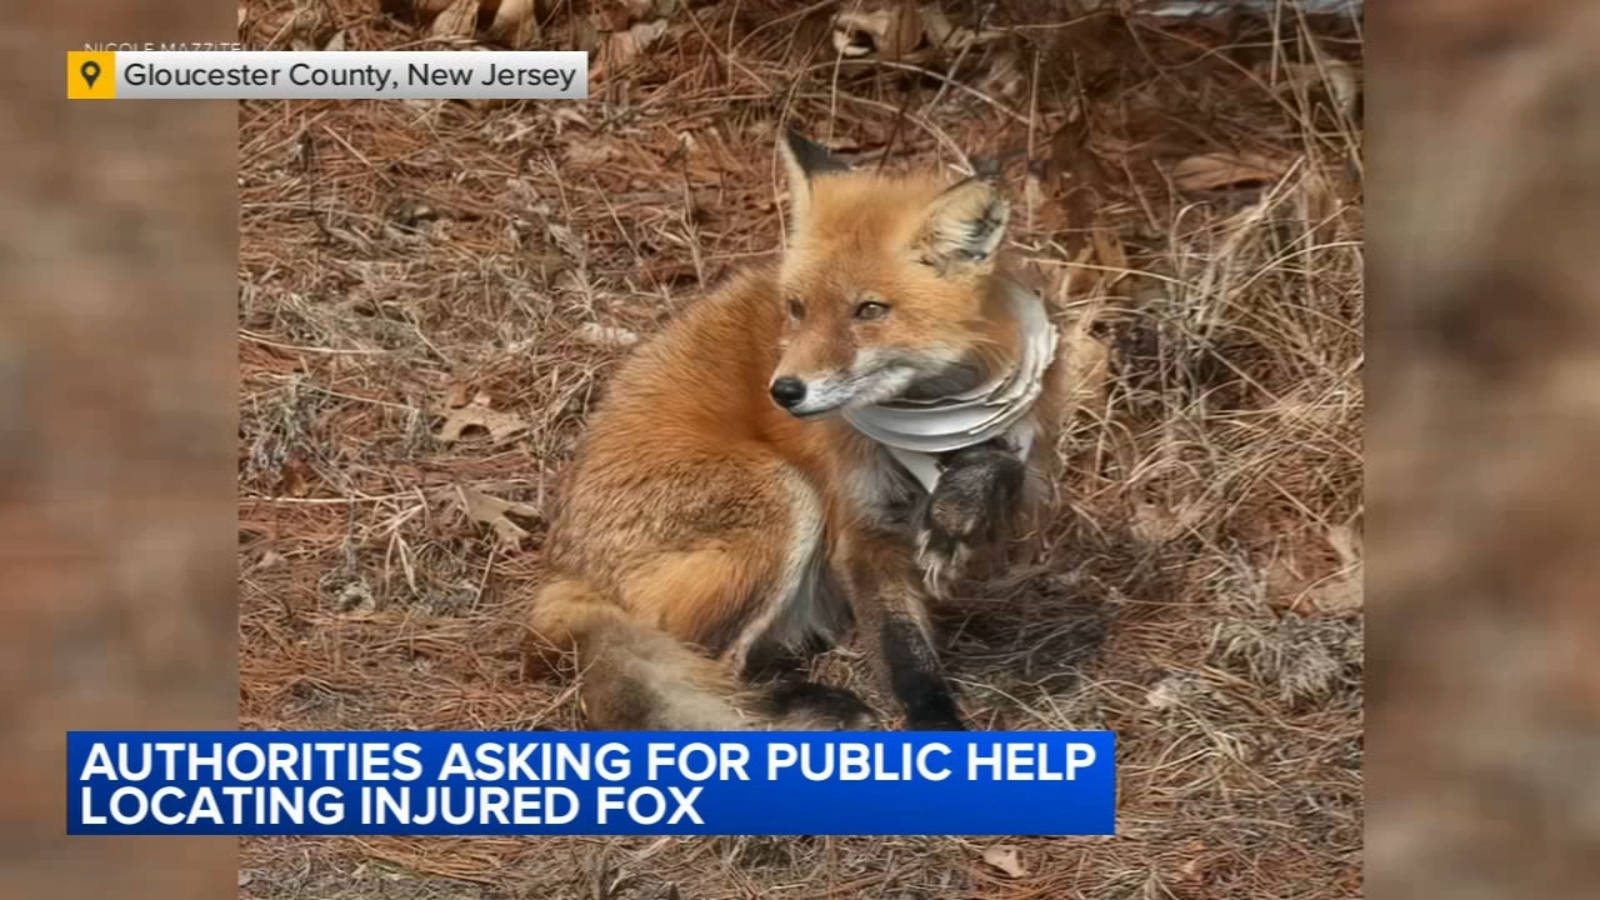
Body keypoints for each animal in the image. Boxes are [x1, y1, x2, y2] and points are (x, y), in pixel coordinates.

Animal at [520, 130, 1071, 732]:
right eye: (797, 308)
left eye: (869, 310)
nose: (783, 392)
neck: (930, 418)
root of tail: (564, 570)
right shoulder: (859, 528)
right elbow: (905, 656)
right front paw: (936, 726)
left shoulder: (1025, 467)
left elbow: (999, 467)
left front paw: (956, 512)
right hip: (785, 494)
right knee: (710, 669)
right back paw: (802, 706)